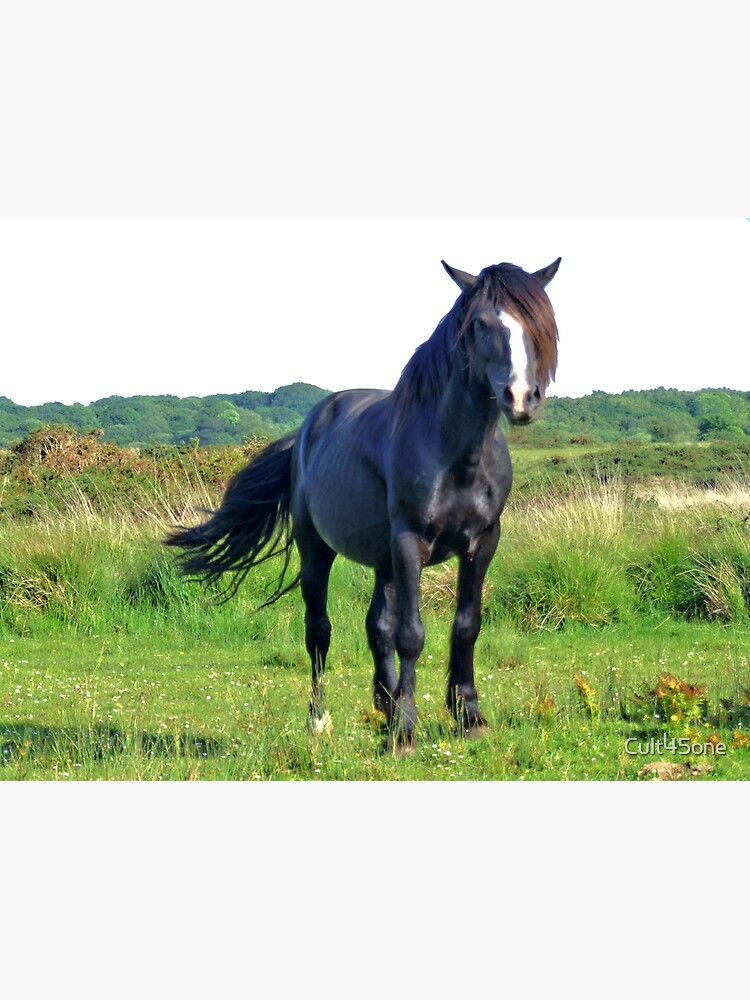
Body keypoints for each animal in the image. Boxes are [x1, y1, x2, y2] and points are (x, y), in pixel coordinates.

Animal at [166, 256, 561, 748]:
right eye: (482, 323)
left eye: (540, 324)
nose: (522, 398)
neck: (456, 454)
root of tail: (306, 429)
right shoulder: (410, 542)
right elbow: (411, 635)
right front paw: (405, 733)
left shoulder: (483, 542)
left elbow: (466, 626)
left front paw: (468, 717)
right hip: (317, 549)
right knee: (319, 630)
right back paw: (322, 719)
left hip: (383, 559)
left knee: (377, 628)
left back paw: (384, 707)